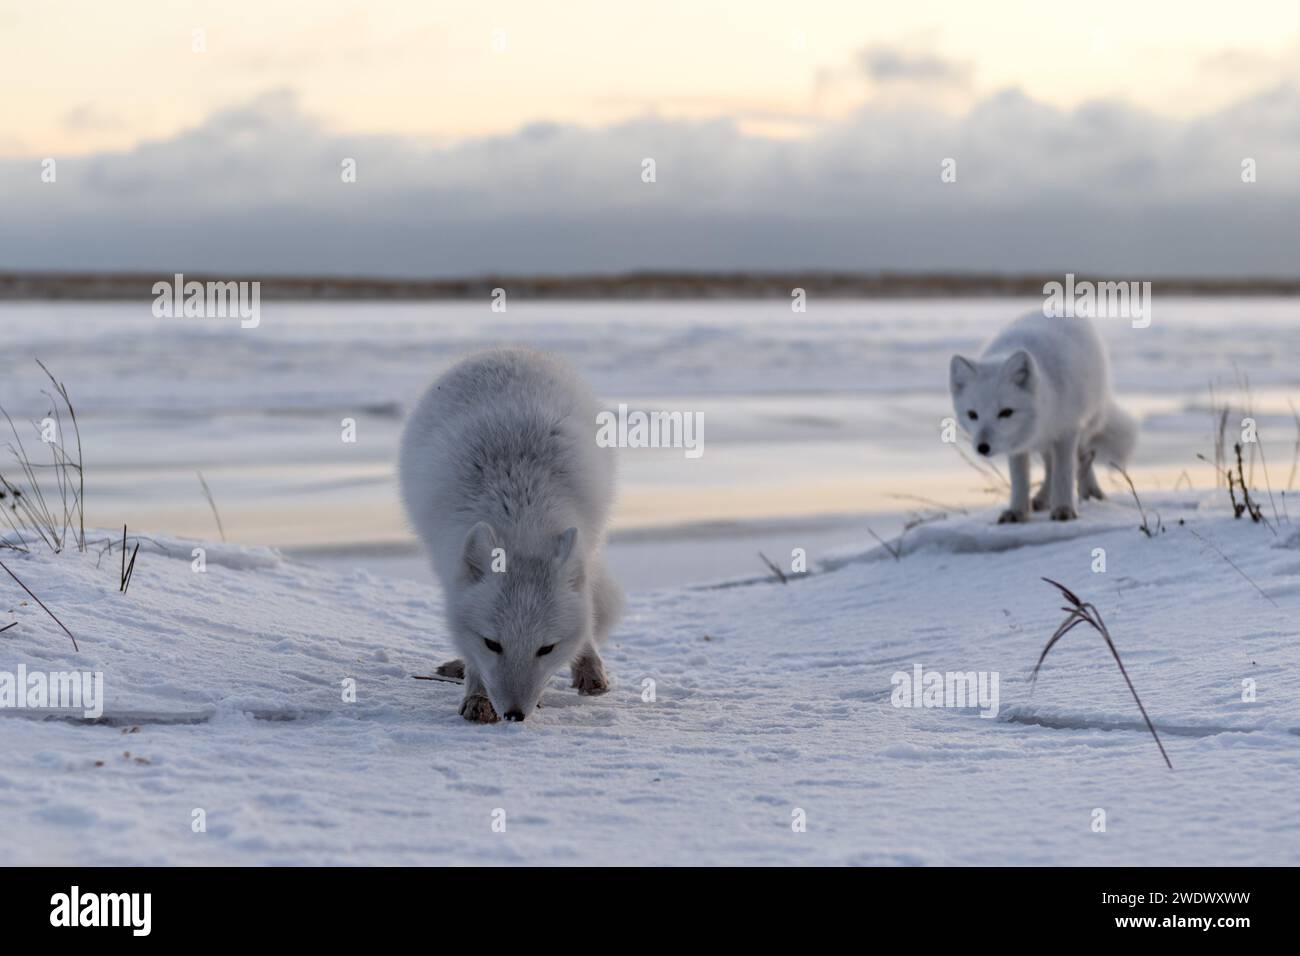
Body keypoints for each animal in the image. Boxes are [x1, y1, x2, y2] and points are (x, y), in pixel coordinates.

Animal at [399, 348, 624, 723]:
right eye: (492, 643)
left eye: (546, 648)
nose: (515, 714)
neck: (522, 517)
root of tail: (505, 350)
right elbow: (472, 652)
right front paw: (477, 695)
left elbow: (586, 621)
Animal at [949, 312, 1137, 523]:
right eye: (973, 414)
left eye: (1005, 412)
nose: (982, 448)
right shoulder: (1018, 446)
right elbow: (1020, 479)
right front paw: (1017, 512)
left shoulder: (1067, 431)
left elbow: (1064, 472)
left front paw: (1064, 509)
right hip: (1046, 444)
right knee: (1051, 466)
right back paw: (1043, 499)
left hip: (1084, 425)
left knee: (1083, 457)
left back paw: (1090, 493)